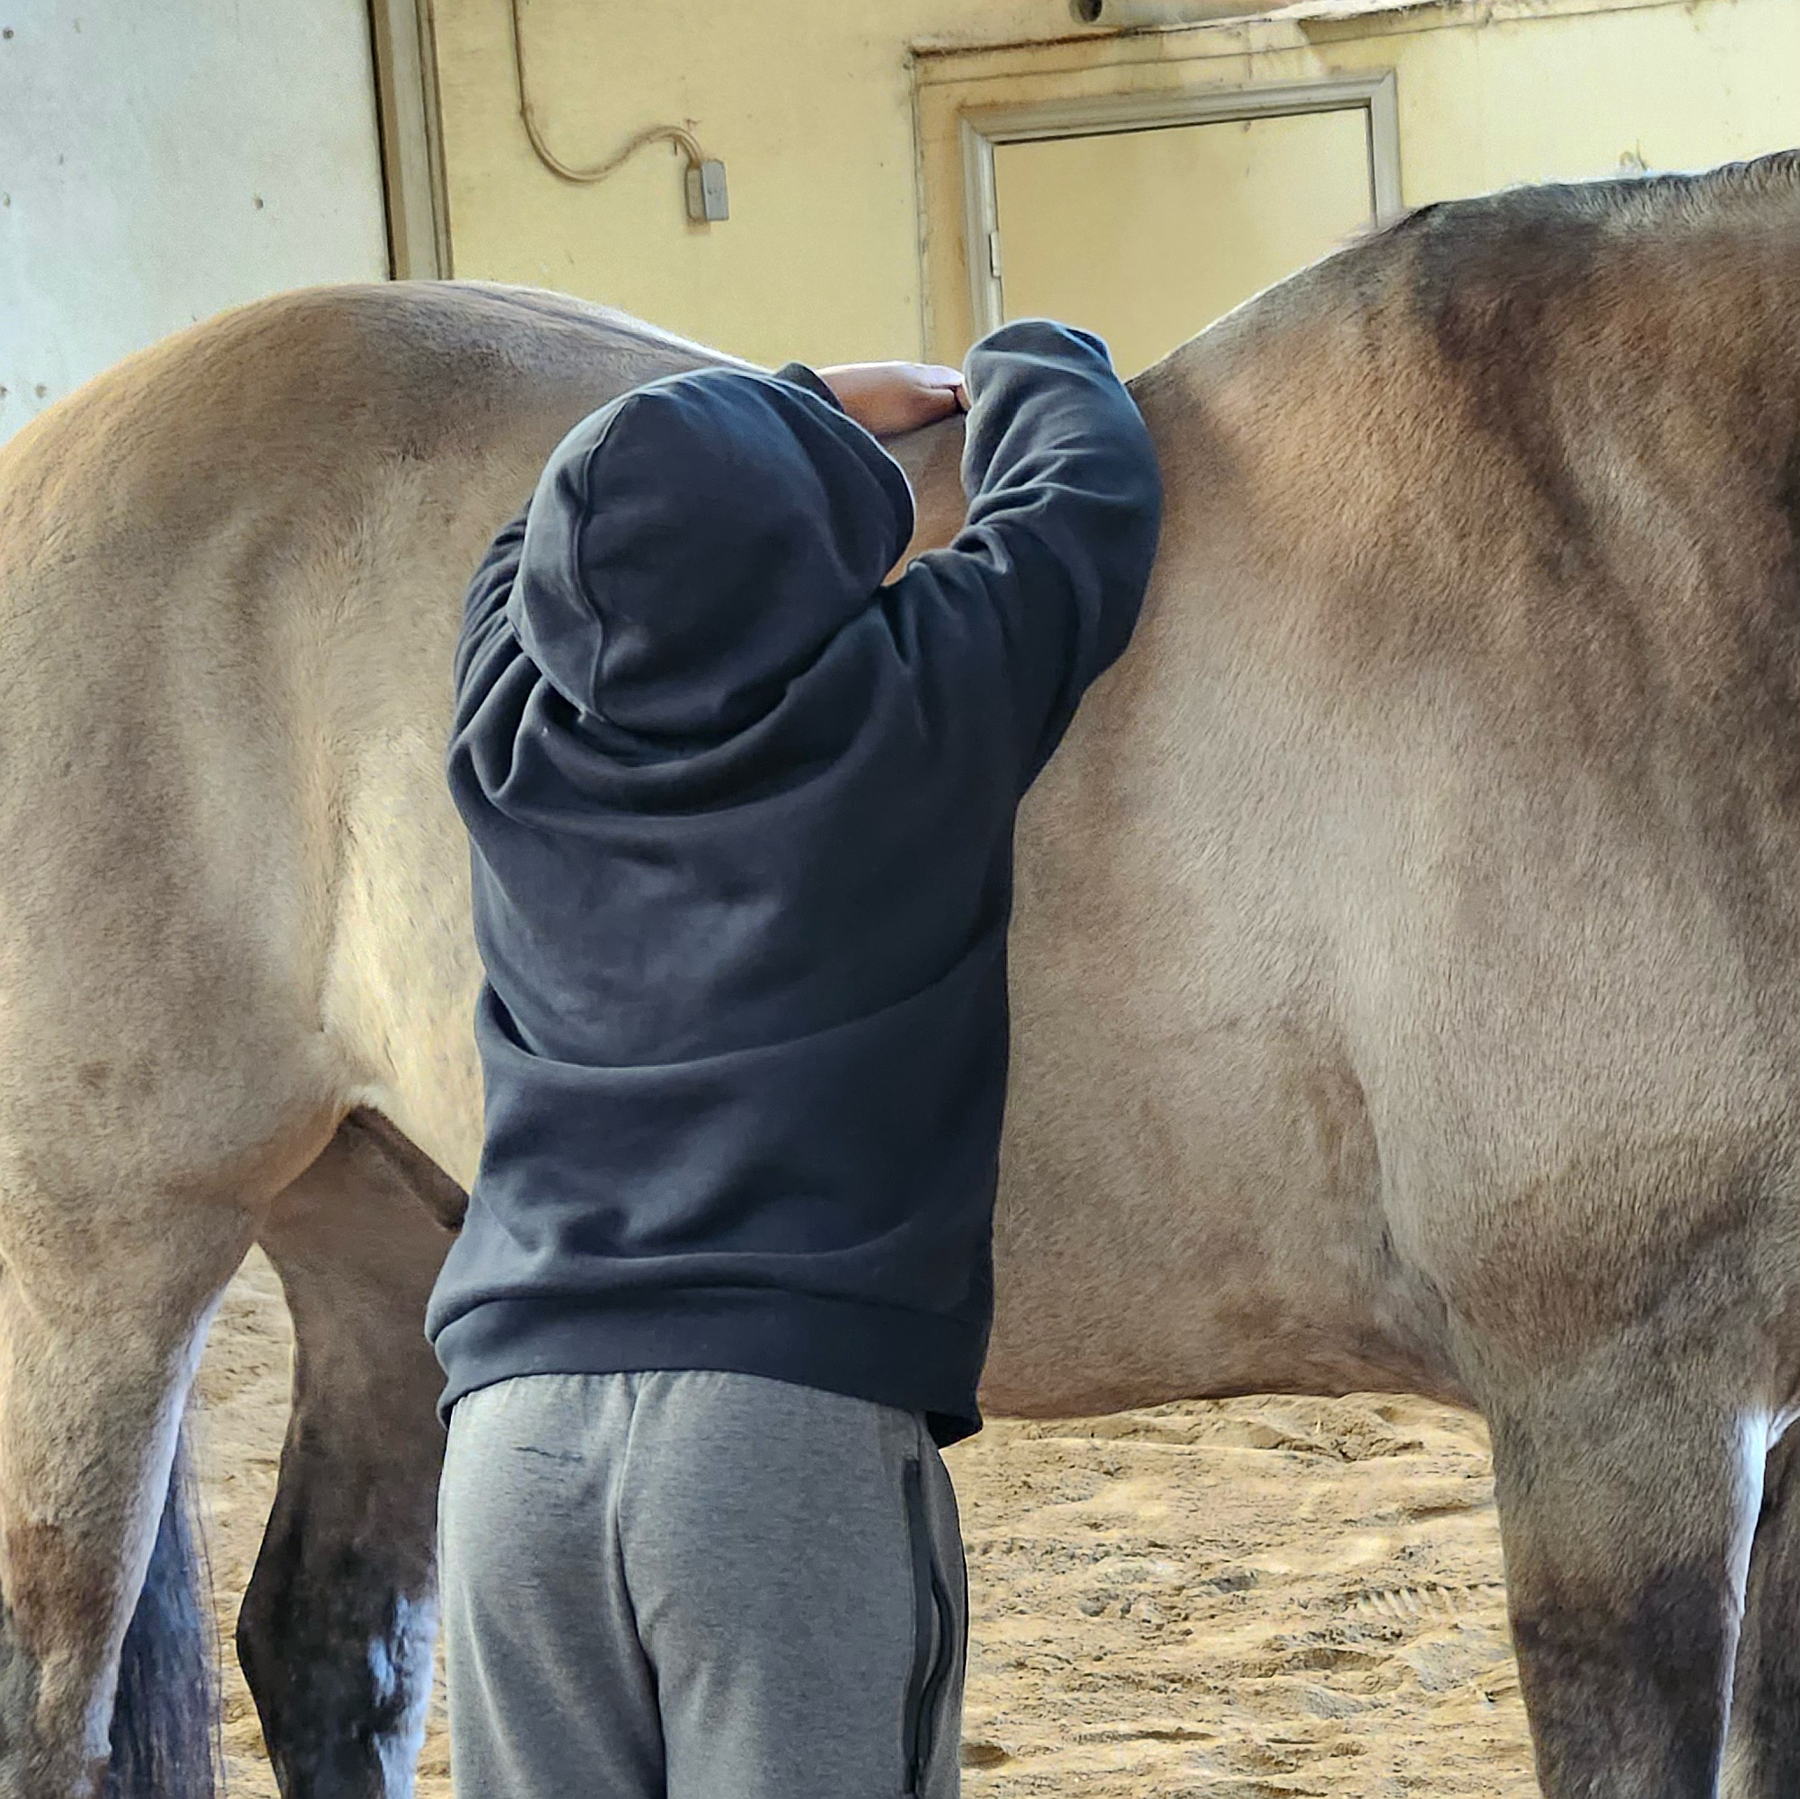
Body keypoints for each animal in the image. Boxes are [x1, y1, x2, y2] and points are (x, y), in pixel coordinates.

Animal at [2, 151, 1799, 1799]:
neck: (1647, 565)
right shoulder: (1612, 1419)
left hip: (382, 1239)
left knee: (332, 1636)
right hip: (104, 1264)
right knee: (57, 1679)